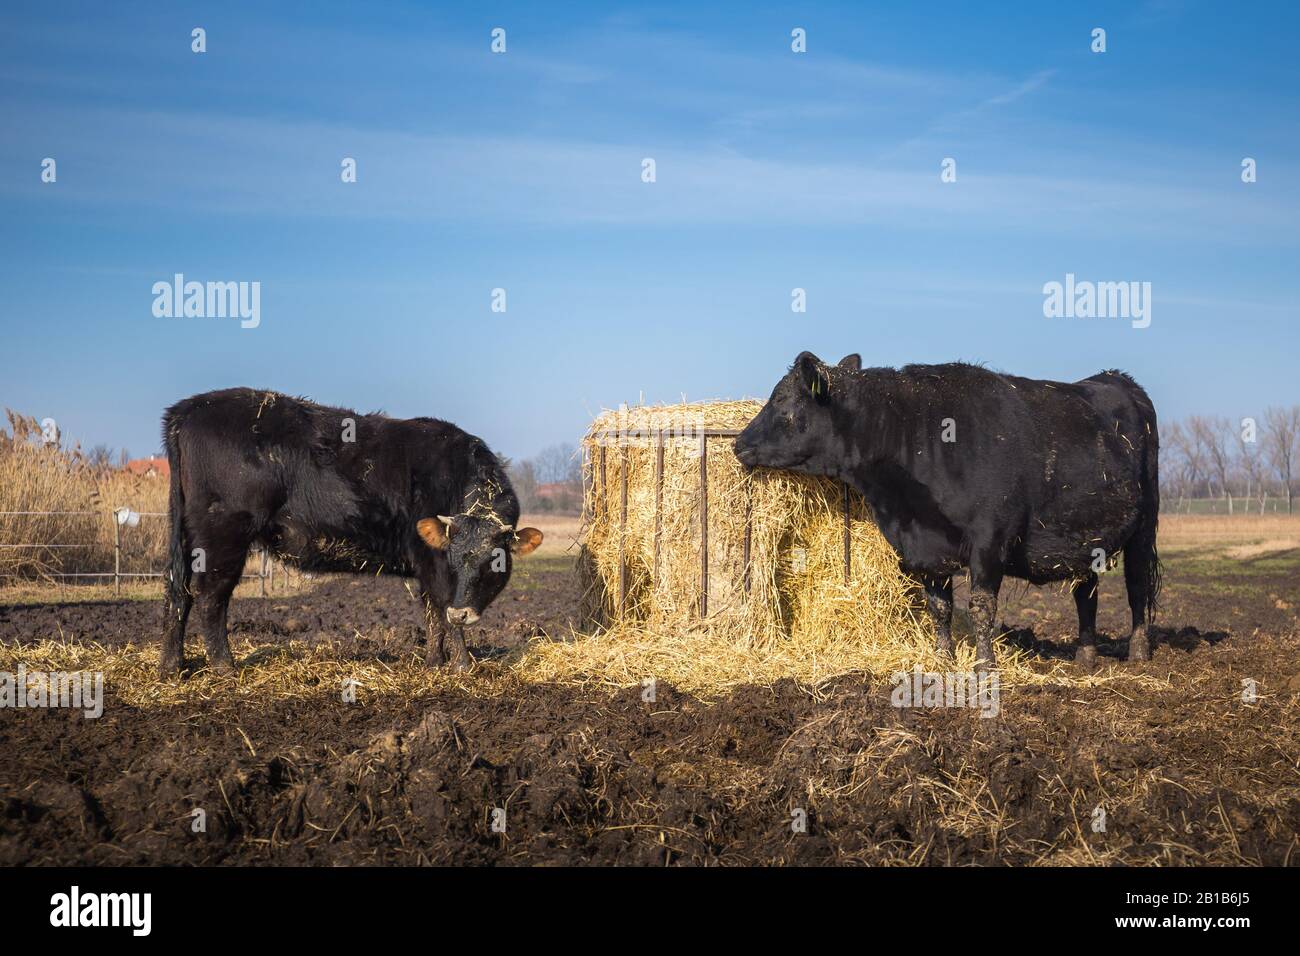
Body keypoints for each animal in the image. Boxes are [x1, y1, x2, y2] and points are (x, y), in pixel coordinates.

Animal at [158, 388, 543, 677]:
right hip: (224, 535)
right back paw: (225, 667)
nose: (465, 612)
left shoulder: (425, 565)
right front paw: (462, 666)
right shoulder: (432, 562)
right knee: (210, 596)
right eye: (454, 557)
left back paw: (172, 667)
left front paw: (435, 663)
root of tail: (189, 408)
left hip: (187, 536)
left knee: (178, 593)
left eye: (494, 560)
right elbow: (442, 608)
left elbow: (433, 614)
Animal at [733, 352, 1161, 671]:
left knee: (1137, 588)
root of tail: (1118, 379)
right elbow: (939, 607)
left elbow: (981, 607)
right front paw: (943, 658)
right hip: (1087, 534)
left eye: (782, 404)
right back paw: (1085, 657)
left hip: (1144, 528)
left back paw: (1139, 654)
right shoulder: (923, 549)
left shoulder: (990, 540)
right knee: (1086, 592)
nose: (738, 443)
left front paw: (985, 665)